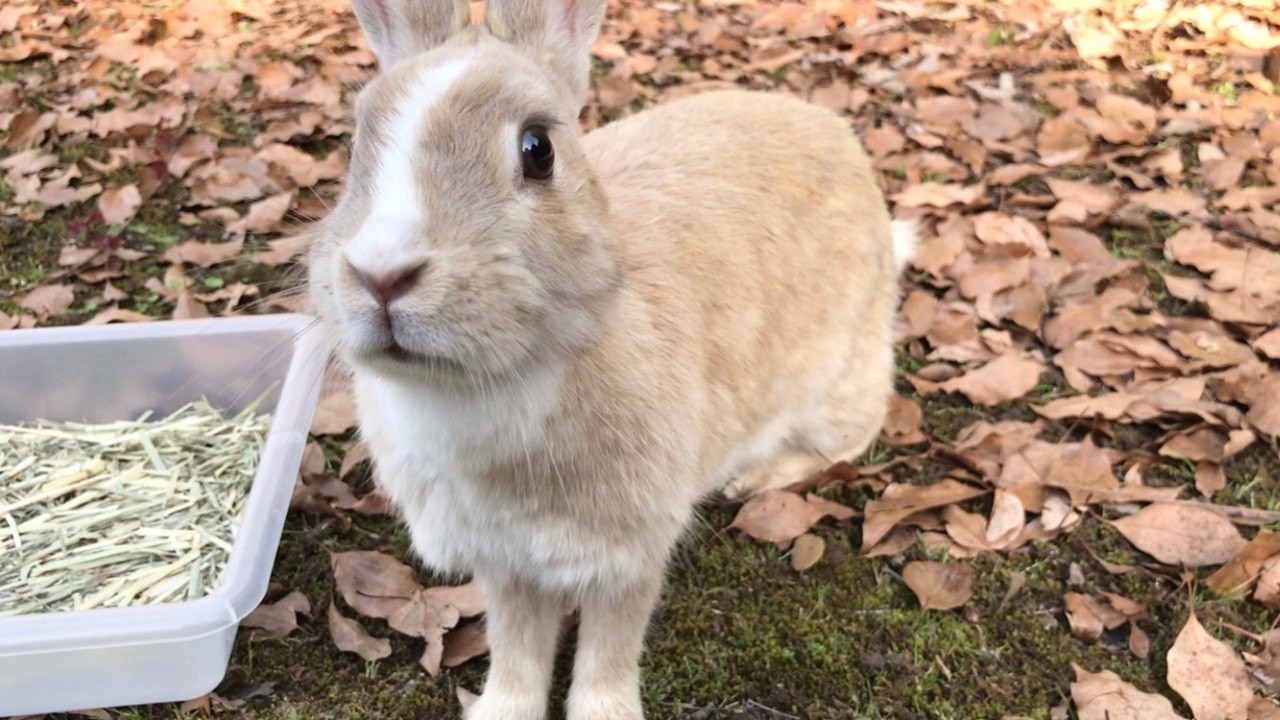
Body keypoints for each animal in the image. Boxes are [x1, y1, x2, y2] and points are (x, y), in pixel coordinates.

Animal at [306, 0, 917, 716]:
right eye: (356, 143)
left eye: (538, 149)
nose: (380, 273)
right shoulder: (504, 563)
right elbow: (517, 648)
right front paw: (503, 709)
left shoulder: (628, 557)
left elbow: (609, 650)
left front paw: (604, 710)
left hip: (839, 385)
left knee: (845, 440)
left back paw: (752, 480)